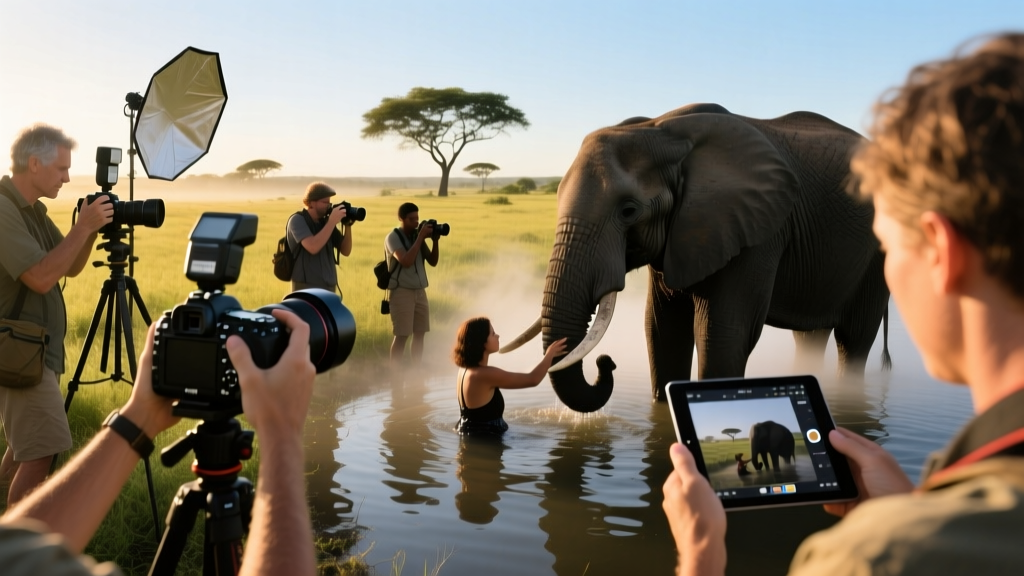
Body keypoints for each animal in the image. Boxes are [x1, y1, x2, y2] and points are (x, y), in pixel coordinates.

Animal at [502, 103, 890, 413]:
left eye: (629, 211)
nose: (606, 361)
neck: (662, 130)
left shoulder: (756, 233)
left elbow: (722, 333)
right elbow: (661, 328)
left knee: (855, 337)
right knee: (810, 335)